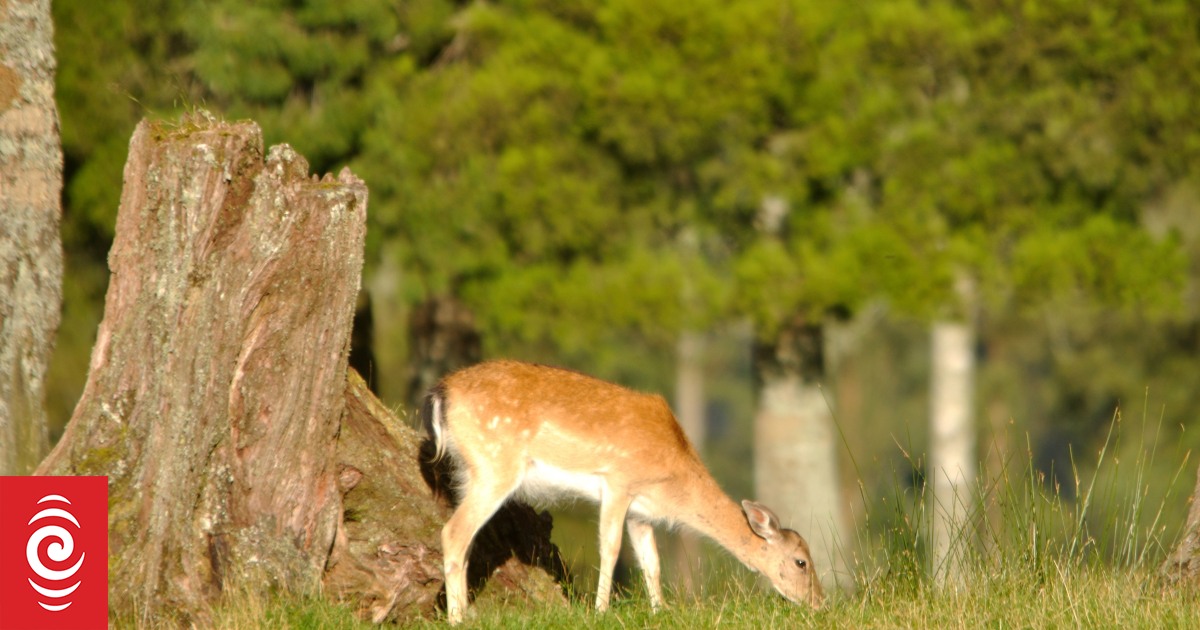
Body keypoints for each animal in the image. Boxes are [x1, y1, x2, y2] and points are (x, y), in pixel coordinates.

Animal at [423, 359, 824, 624]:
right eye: (801, 562)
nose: (819, 603)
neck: (673, 478)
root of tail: (441, 393)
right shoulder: (619, 481)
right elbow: (612, 548)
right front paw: (601, 610)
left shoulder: (641, 512)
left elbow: (652, 562)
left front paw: (661, 610)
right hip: (496, 466)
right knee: (453, 532)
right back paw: (458, 618)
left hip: (469, 470)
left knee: (463, 536)